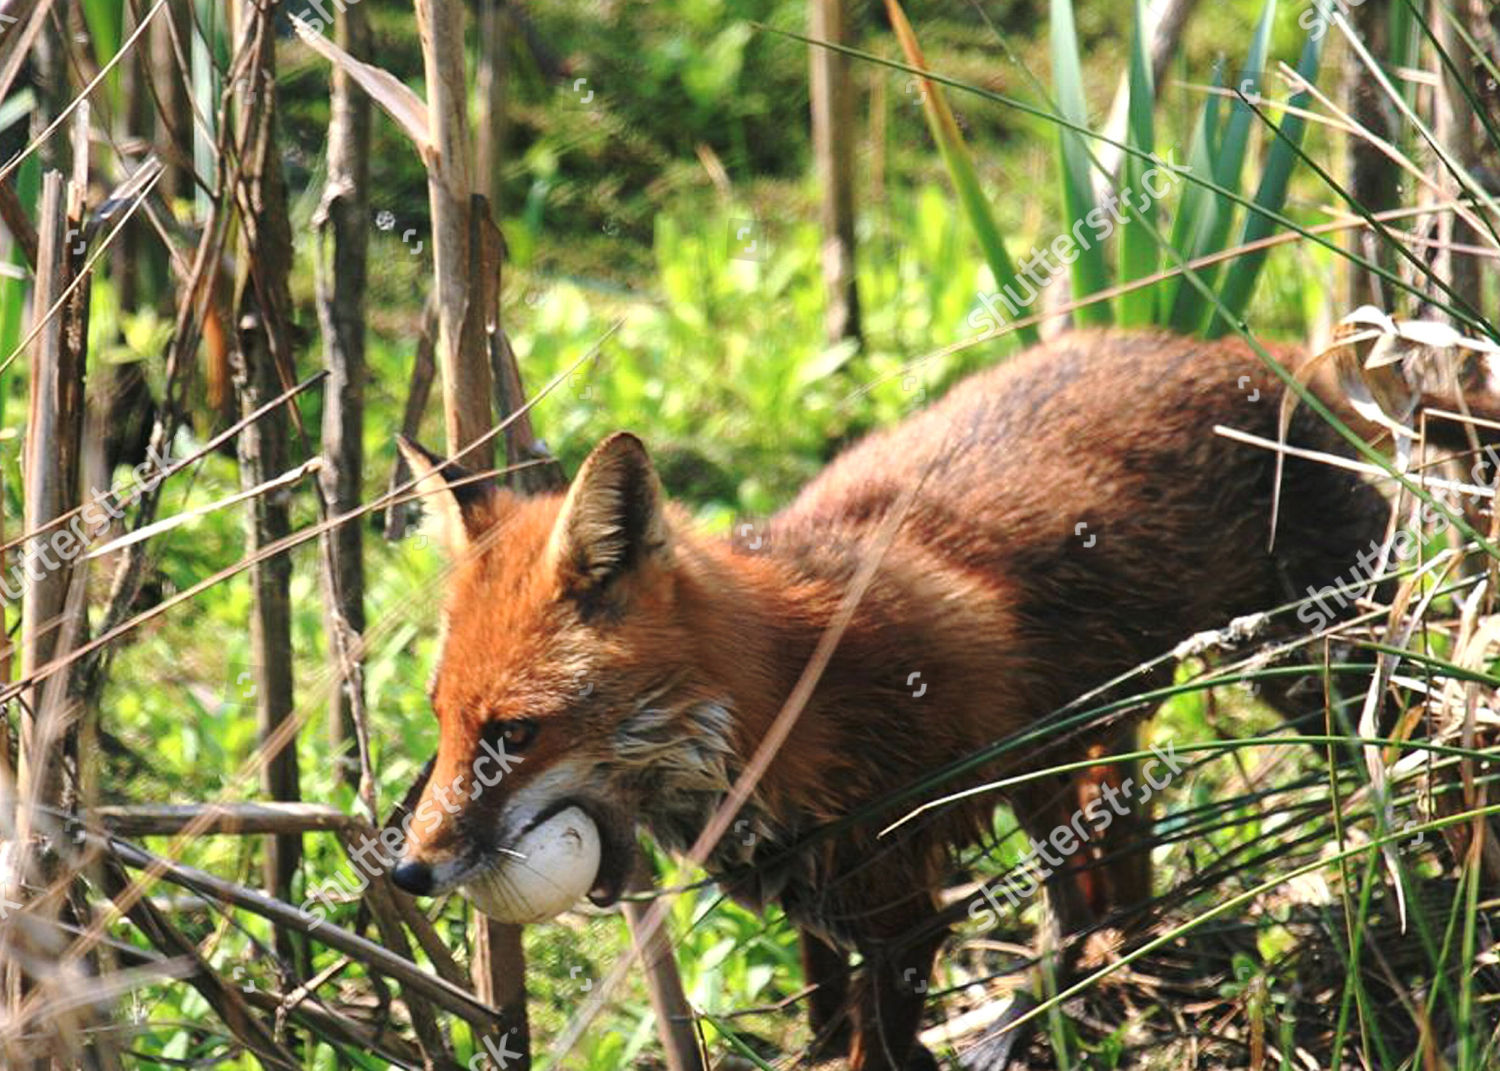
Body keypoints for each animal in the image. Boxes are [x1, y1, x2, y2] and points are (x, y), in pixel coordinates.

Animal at [387, 328, 1488, 1070]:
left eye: (516, 733)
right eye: (441, 719)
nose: (405, 873)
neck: (784, 704)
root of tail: (1250, 350)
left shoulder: (904, 909)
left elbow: (875, 1044)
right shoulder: (818, 904)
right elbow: (825, 1017)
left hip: (1317, 675)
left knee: (1432, 746)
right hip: (1088, 744)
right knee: (1102, 879)